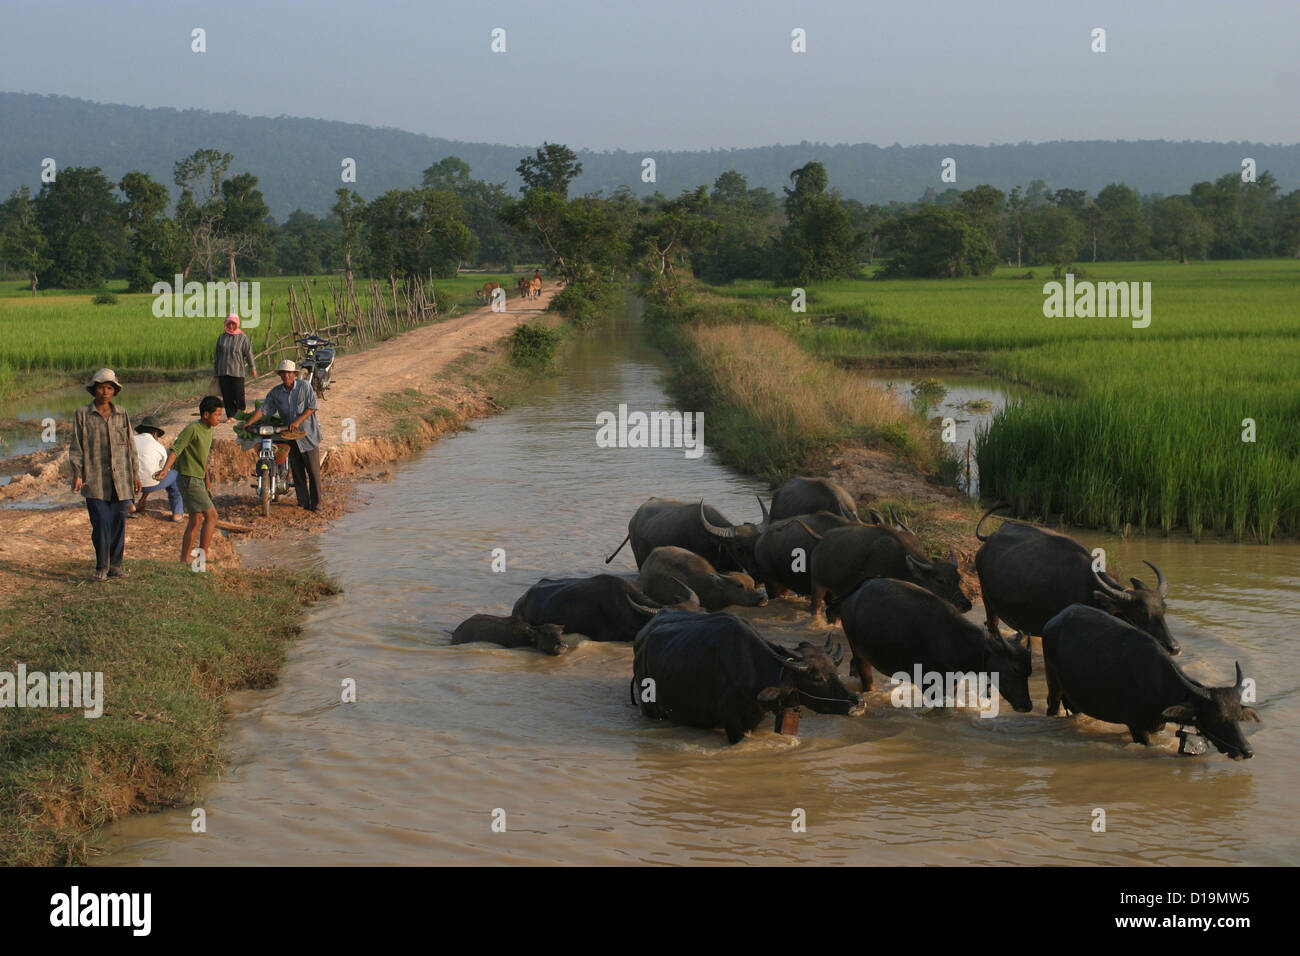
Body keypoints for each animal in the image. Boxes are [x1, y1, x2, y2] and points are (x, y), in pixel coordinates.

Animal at [632, 610, 866, 744]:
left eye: (835, 671)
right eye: (817, 678)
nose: (859, 701)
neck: (753, 669)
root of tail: (642, 643)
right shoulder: (732, 723)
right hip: (650, 709)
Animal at [809, 524, 970, 620]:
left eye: (959, 579)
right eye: (940, 580)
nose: (966, 604)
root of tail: (822, 539)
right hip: (817, 584)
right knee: (817, 607)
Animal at [837, 578, 1032, 710]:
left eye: (1028, 671)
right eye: (1015, 669)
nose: (1027, 705)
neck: (953, 640)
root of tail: (853, 595)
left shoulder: (952, 682)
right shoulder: (926, 682)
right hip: (858, 651)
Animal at [974, 505, 1179, 655]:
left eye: (1164, 610)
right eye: (1143, 613)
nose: (1174, 647)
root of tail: (991, 538)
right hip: (988, 602)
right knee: (992, 627)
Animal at [1042, 604, 1258, 758]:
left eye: (1238, 716)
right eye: (1217, 718)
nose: (1247, 751)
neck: (1157, 684)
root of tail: (1054, 621)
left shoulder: (1157, 725)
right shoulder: (1137, 727)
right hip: (1053, 681)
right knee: (1052, 704)